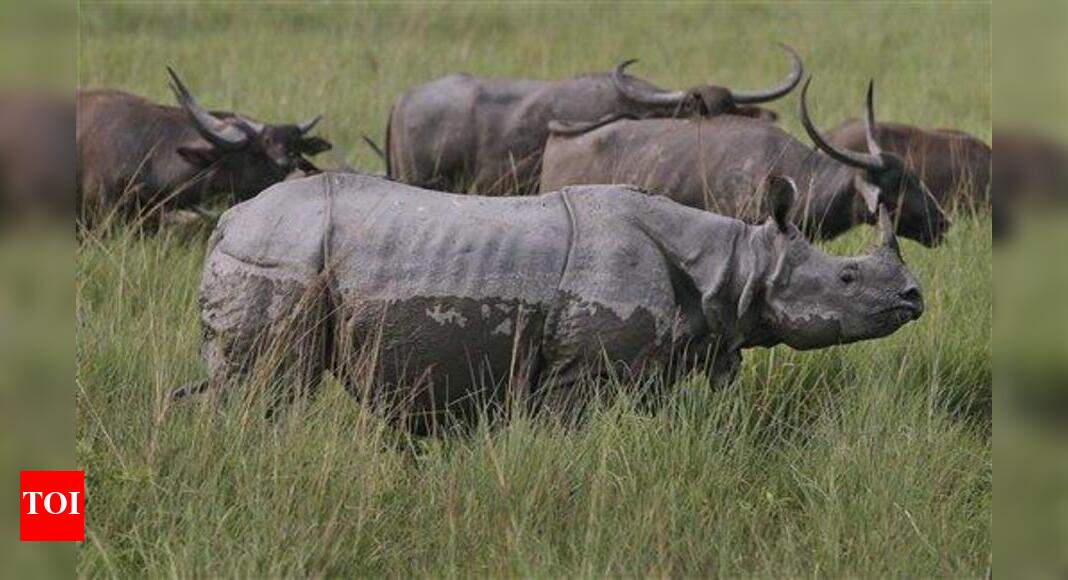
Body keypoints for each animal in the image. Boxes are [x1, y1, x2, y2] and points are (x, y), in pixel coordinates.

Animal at [189, 171, 923, 434]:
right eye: (847, 278)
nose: (914, 296)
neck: (735, 263)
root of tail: (229, 220)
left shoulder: (653, 359)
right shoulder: (584, 370)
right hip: (284, 257)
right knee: (266, 387)